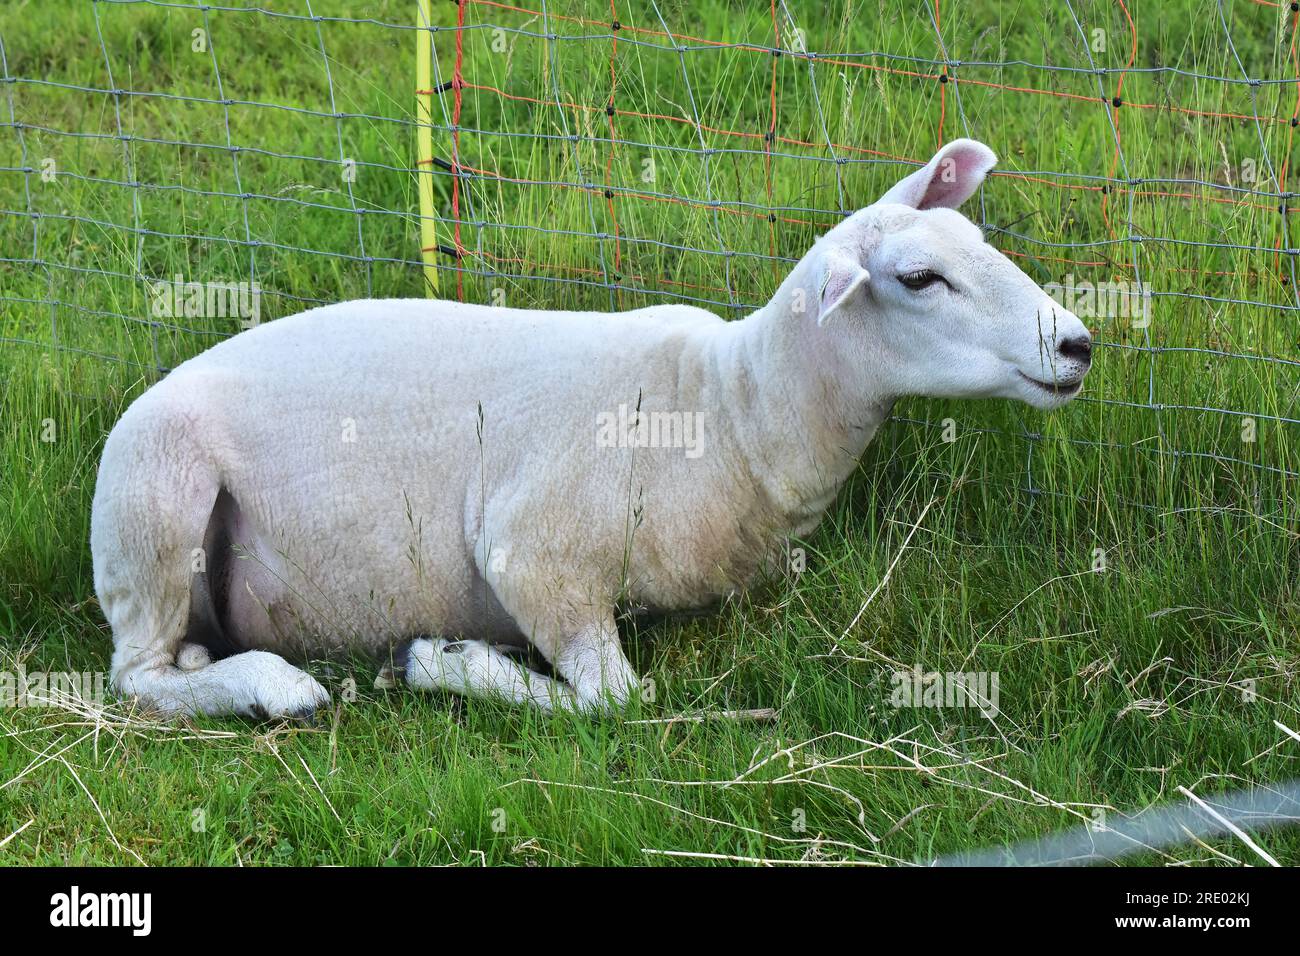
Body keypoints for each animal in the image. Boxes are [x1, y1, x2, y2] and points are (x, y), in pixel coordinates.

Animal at [90, 139, 1092, 719]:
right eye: (920, 278)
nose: (1078, 343)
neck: (733, 413)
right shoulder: (535, 556)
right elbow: (614, 706)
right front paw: (445, 661)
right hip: (155, 499)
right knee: (138, 674)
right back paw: (277, 686)